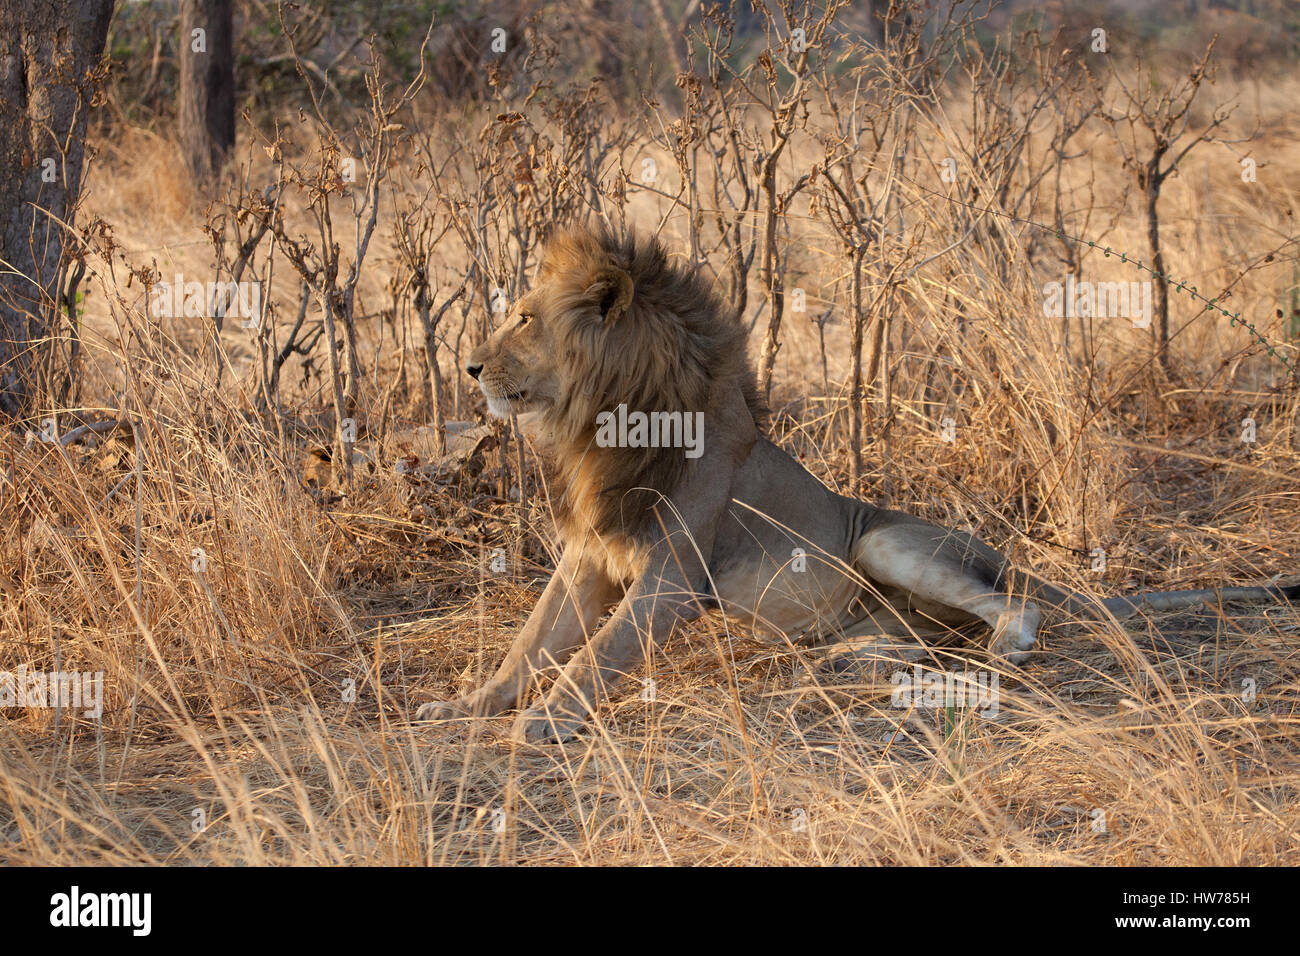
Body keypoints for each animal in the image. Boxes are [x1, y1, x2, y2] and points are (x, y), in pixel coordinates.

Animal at [417, 226, 1300, 743]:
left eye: (525, 320)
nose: (471, 367)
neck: (603, 423)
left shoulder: (671, 573)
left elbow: (594, 657)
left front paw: (542, 723)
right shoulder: (591, 557)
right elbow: (531, 642)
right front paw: (468, 706)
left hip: (884, 538)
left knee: (1018, 606)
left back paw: (1002, 653)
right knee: (923, 638)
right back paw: (859, 662)